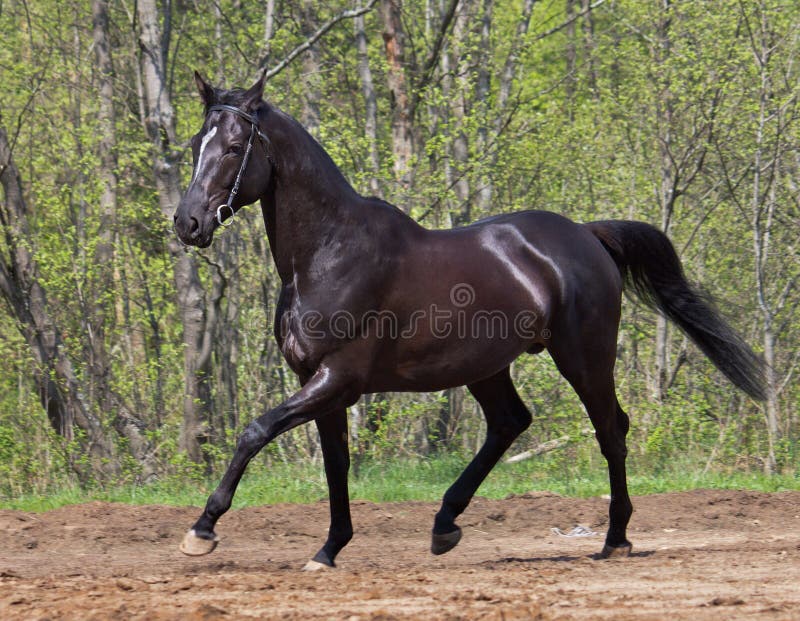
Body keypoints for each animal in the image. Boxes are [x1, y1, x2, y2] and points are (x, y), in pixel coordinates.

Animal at [174, 72, 765, 570]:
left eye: (234, 148)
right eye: (196, 143)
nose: (188, 222)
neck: (328, 254)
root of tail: (586, 234)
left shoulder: (339, 378)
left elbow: (255, 431)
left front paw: (203, 529)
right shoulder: (316, 381)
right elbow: (335, 463)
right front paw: (329, 549)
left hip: (584, 357)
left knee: (609, 429)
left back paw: (615, 538)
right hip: (485, 366)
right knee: (510, 423)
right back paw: (445, 523)